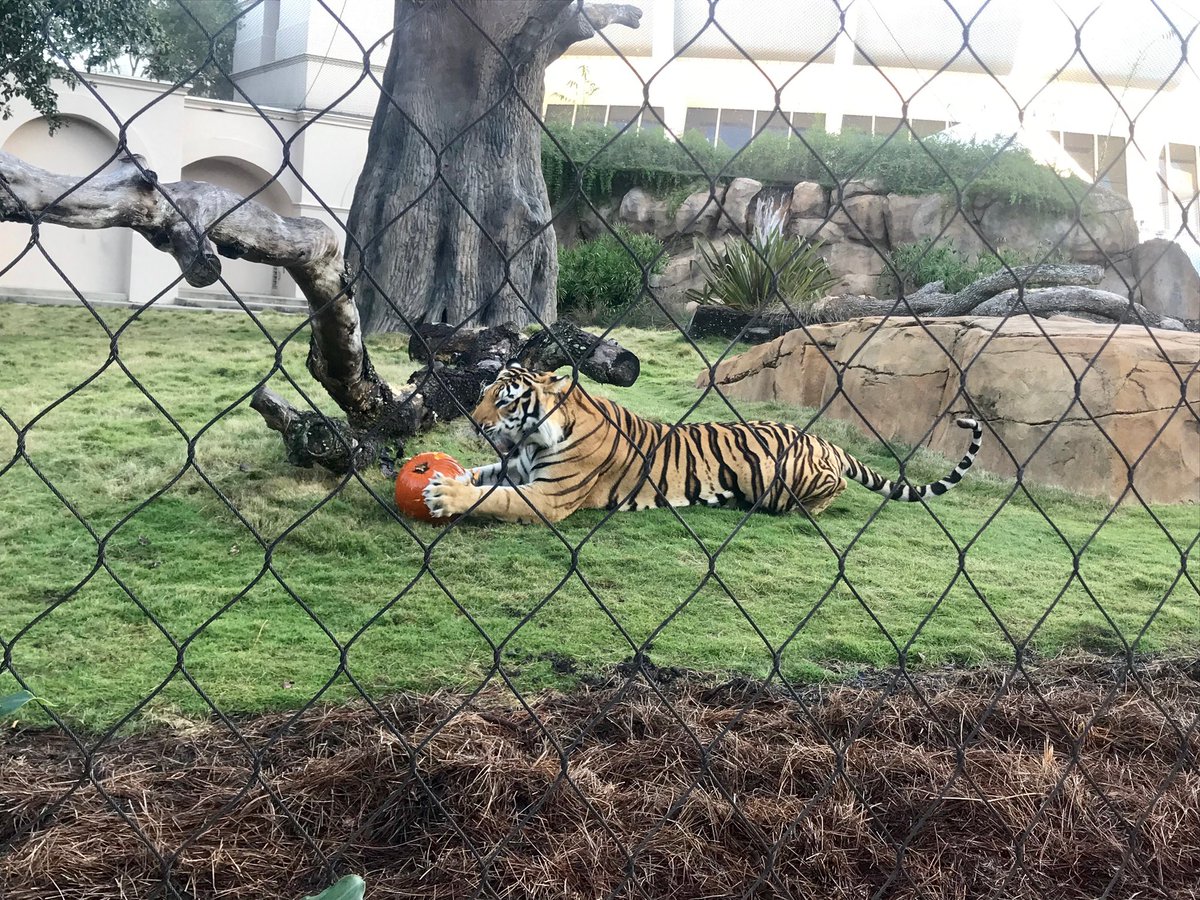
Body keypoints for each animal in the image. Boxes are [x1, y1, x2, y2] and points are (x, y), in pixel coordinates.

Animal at [422, 364, 983, 525]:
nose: (476, 422)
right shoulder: (516, 469)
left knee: (833, 489)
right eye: (484, 392)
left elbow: (491, 497)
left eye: (503, 402)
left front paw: (445, 496)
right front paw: (439, 477)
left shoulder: (547, 496)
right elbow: (480, 475)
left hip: (790, 478)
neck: (536, 438)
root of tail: (822, 440)